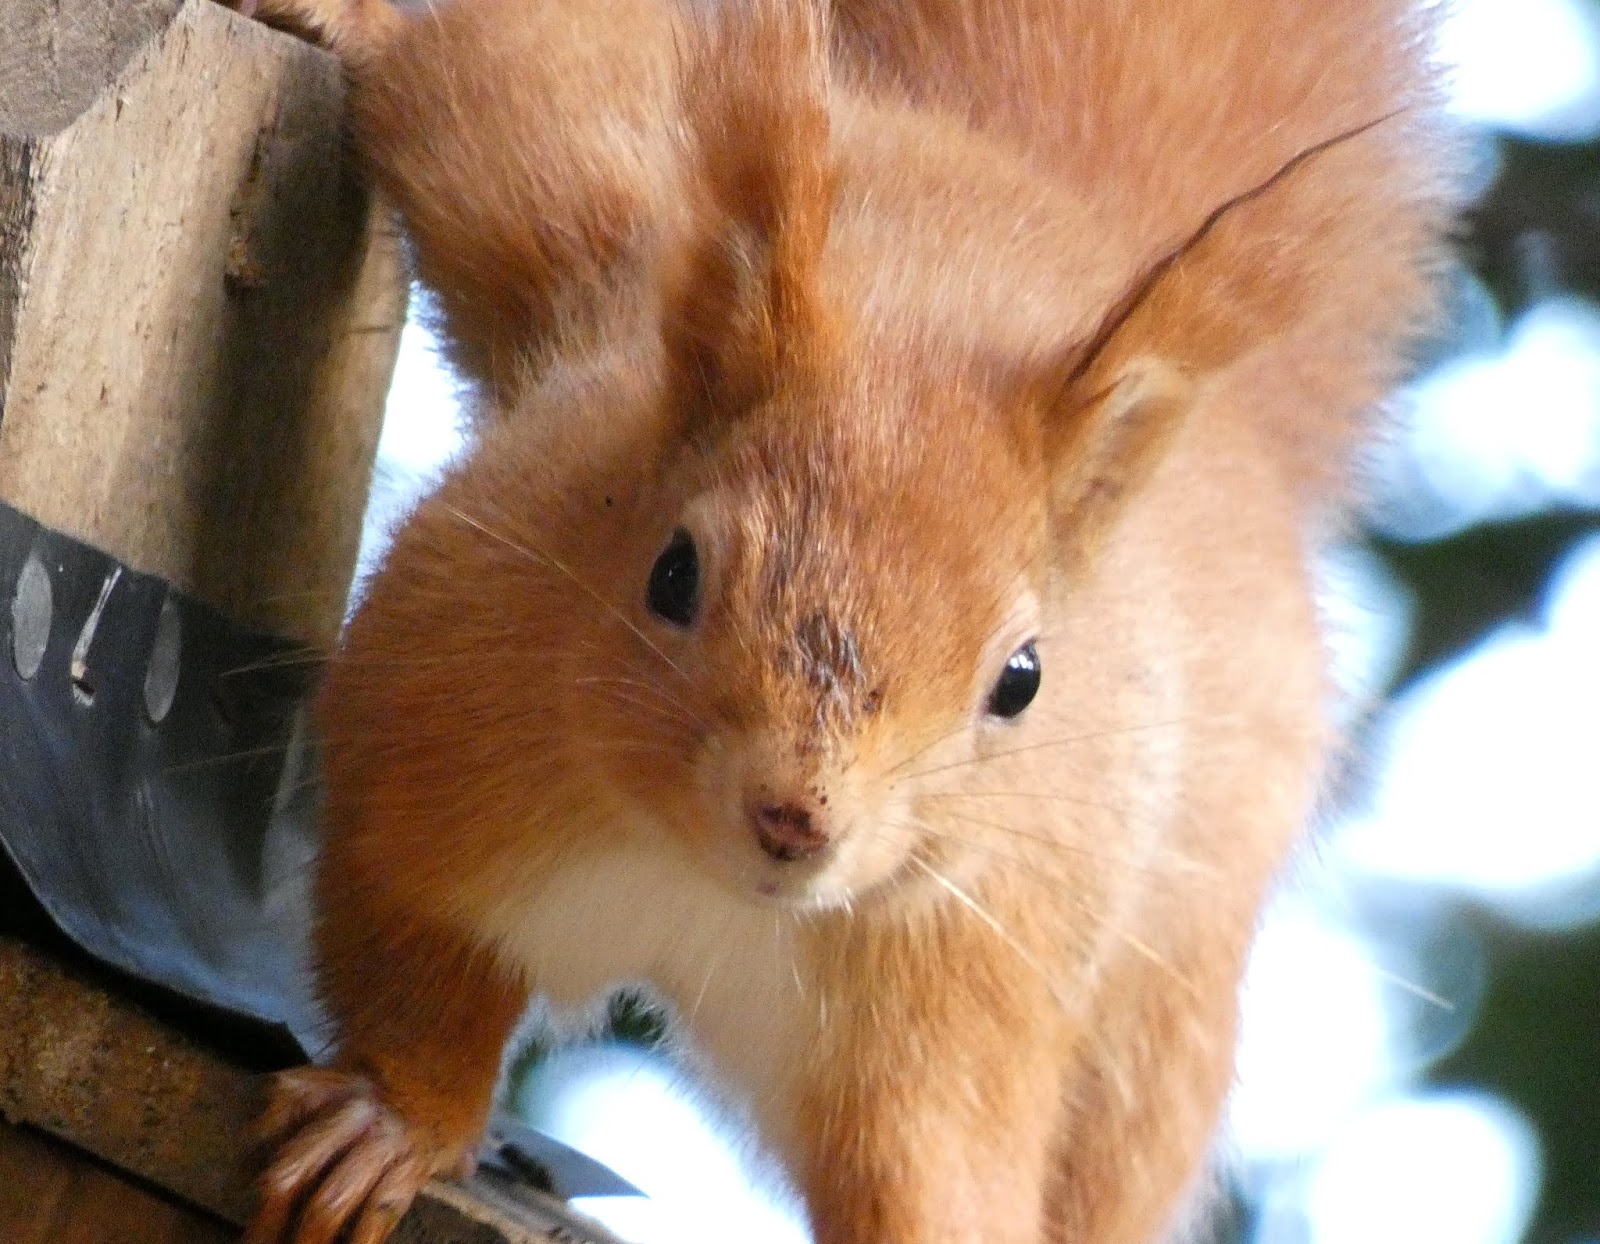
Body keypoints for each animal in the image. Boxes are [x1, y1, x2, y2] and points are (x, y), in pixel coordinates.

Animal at [229, 0, 1455, 1241]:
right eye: (673, 572)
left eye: (1021, 678)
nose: (794, 815)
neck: (698, 874)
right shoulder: (440, 740)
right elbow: (416, 955)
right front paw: (387, 1123)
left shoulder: (943, 1025)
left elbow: (942, 1188)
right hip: (561, 171)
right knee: (498, 72)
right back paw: (347, 23)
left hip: (1159, 1022)